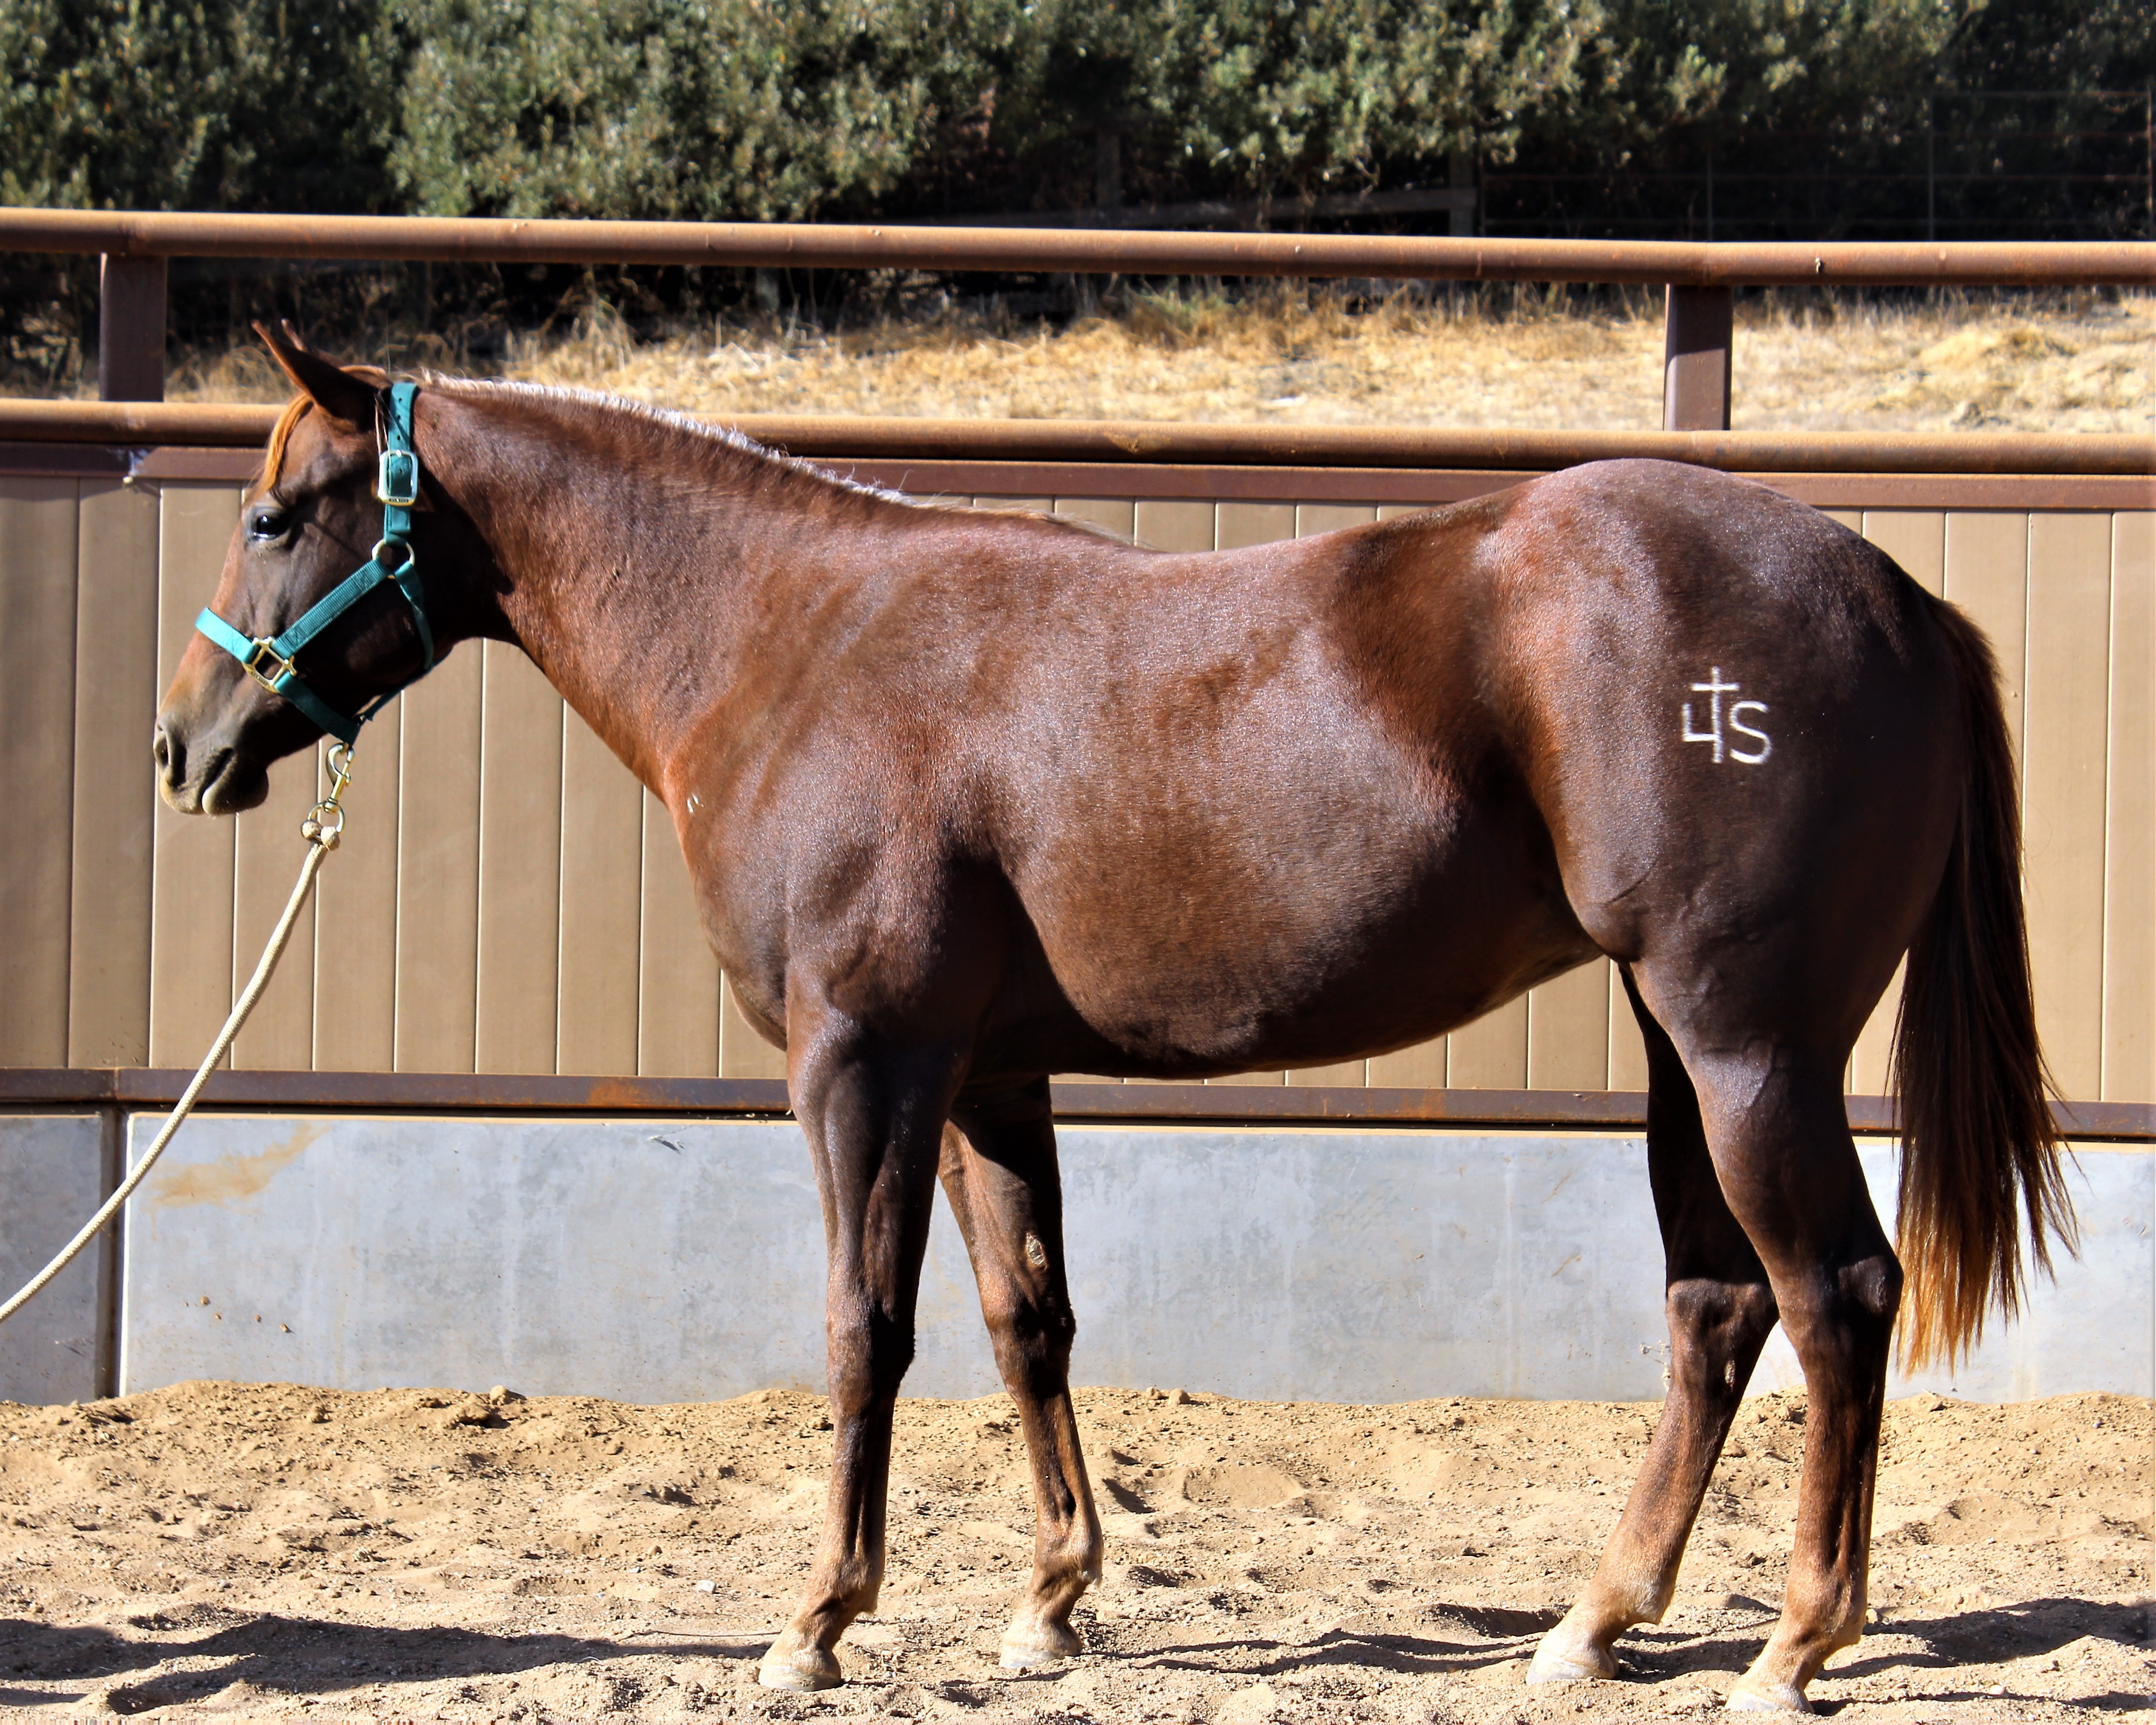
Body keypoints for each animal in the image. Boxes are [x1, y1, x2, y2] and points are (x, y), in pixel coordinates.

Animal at [153, 323, 2070, 1713]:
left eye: (270, 515)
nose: (183, 748)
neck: (794, 644)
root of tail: (1899, 598)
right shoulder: (990, 1077)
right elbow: (1029, 1324)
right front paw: (1054, 1602)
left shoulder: (864, 1066)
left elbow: (865, 1331)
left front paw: (818, 1619)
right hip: (1687, 1049)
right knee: (1717, 1307)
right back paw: (1597, 1621)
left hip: (1750, 1046)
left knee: (1838, 1296)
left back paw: (1795, 1644)